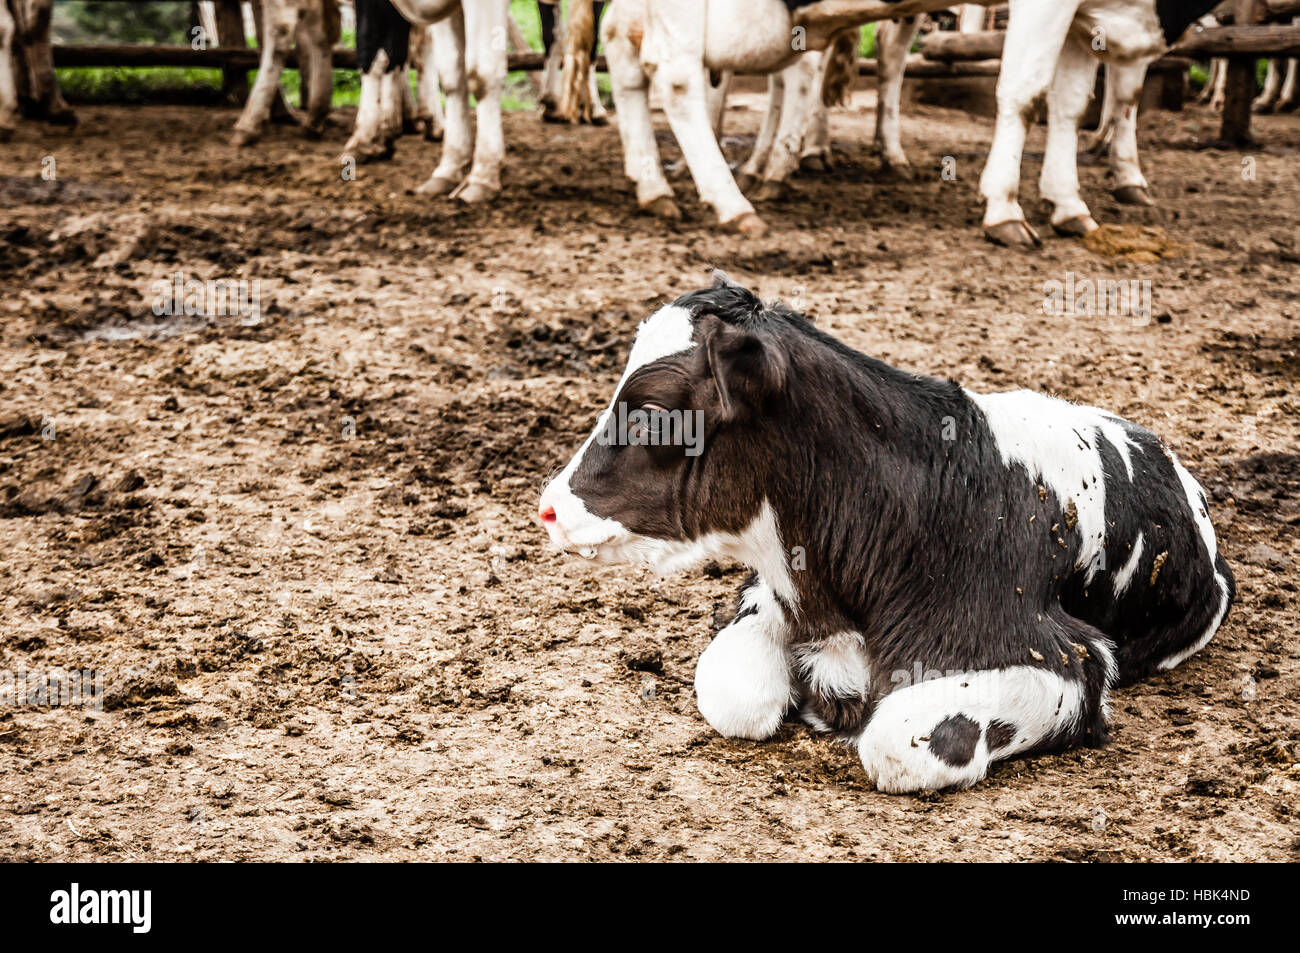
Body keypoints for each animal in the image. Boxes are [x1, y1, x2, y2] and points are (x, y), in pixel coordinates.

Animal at [536, 274, 1235, 793]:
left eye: (653, 413)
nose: (548, 508)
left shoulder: (1067, 659)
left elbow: (901, 741)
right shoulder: (767, 591)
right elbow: (731, 691)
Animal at [568, 0, 1222, 245]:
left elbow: (1070, 104)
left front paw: (1069, 203)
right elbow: (1025, 93)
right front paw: (1005, 208)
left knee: (623, 55)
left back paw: (654, 186)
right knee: (677, 78)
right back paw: (732, 200)